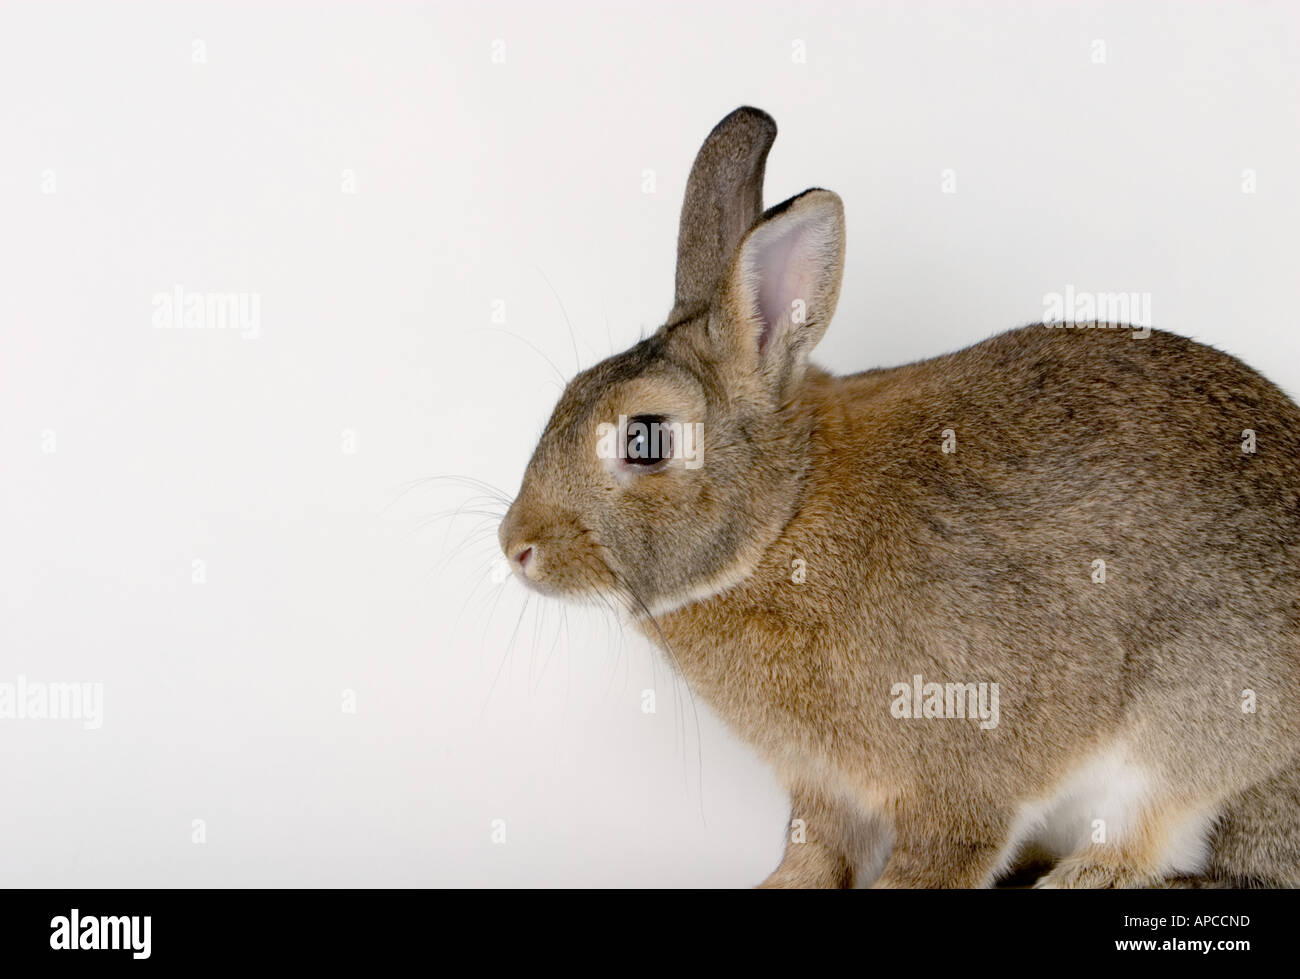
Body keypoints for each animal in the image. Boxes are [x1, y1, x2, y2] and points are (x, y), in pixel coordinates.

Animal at [497, 106, 1300, 888]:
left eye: (645, 439)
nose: (516, 546)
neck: (783, 518)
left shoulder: (958, 756)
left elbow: (943, 851)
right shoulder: (824, 788)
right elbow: (816, 849)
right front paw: (781, 886)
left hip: (1190, 730)